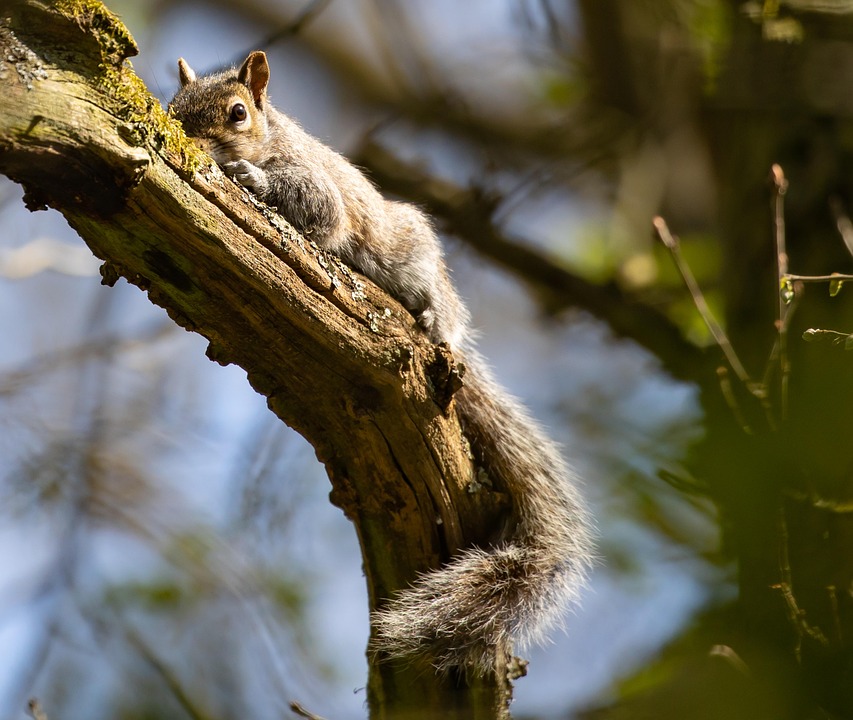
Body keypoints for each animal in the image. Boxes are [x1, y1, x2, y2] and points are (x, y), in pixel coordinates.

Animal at [169, 51, 595, 674]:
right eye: (172, 106)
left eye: (238, 112)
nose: (189, 140)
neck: (275, 138)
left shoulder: (317, 187)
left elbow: (318, 211)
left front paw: (253, 180)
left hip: (413, 255)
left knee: (445, 308)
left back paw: (434, 319)